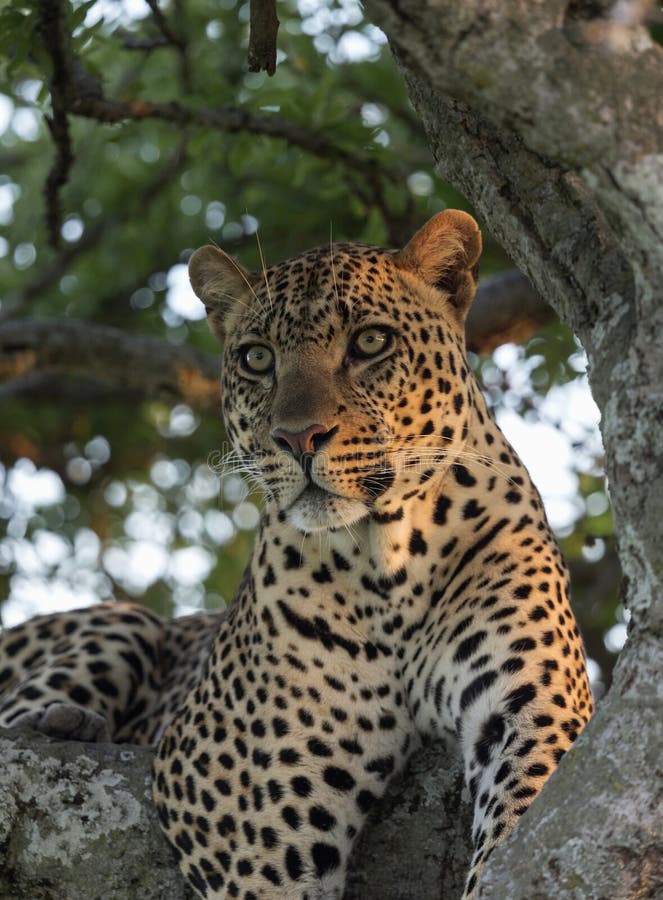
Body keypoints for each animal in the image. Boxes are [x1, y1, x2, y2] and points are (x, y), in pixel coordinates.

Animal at [0, 210, 593, 900]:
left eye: (370, 342)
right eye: (257, 358)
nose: (297, 438)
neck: (389, 563)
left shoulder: (536, 710)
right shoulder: (245, 799)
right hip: (122, 624)